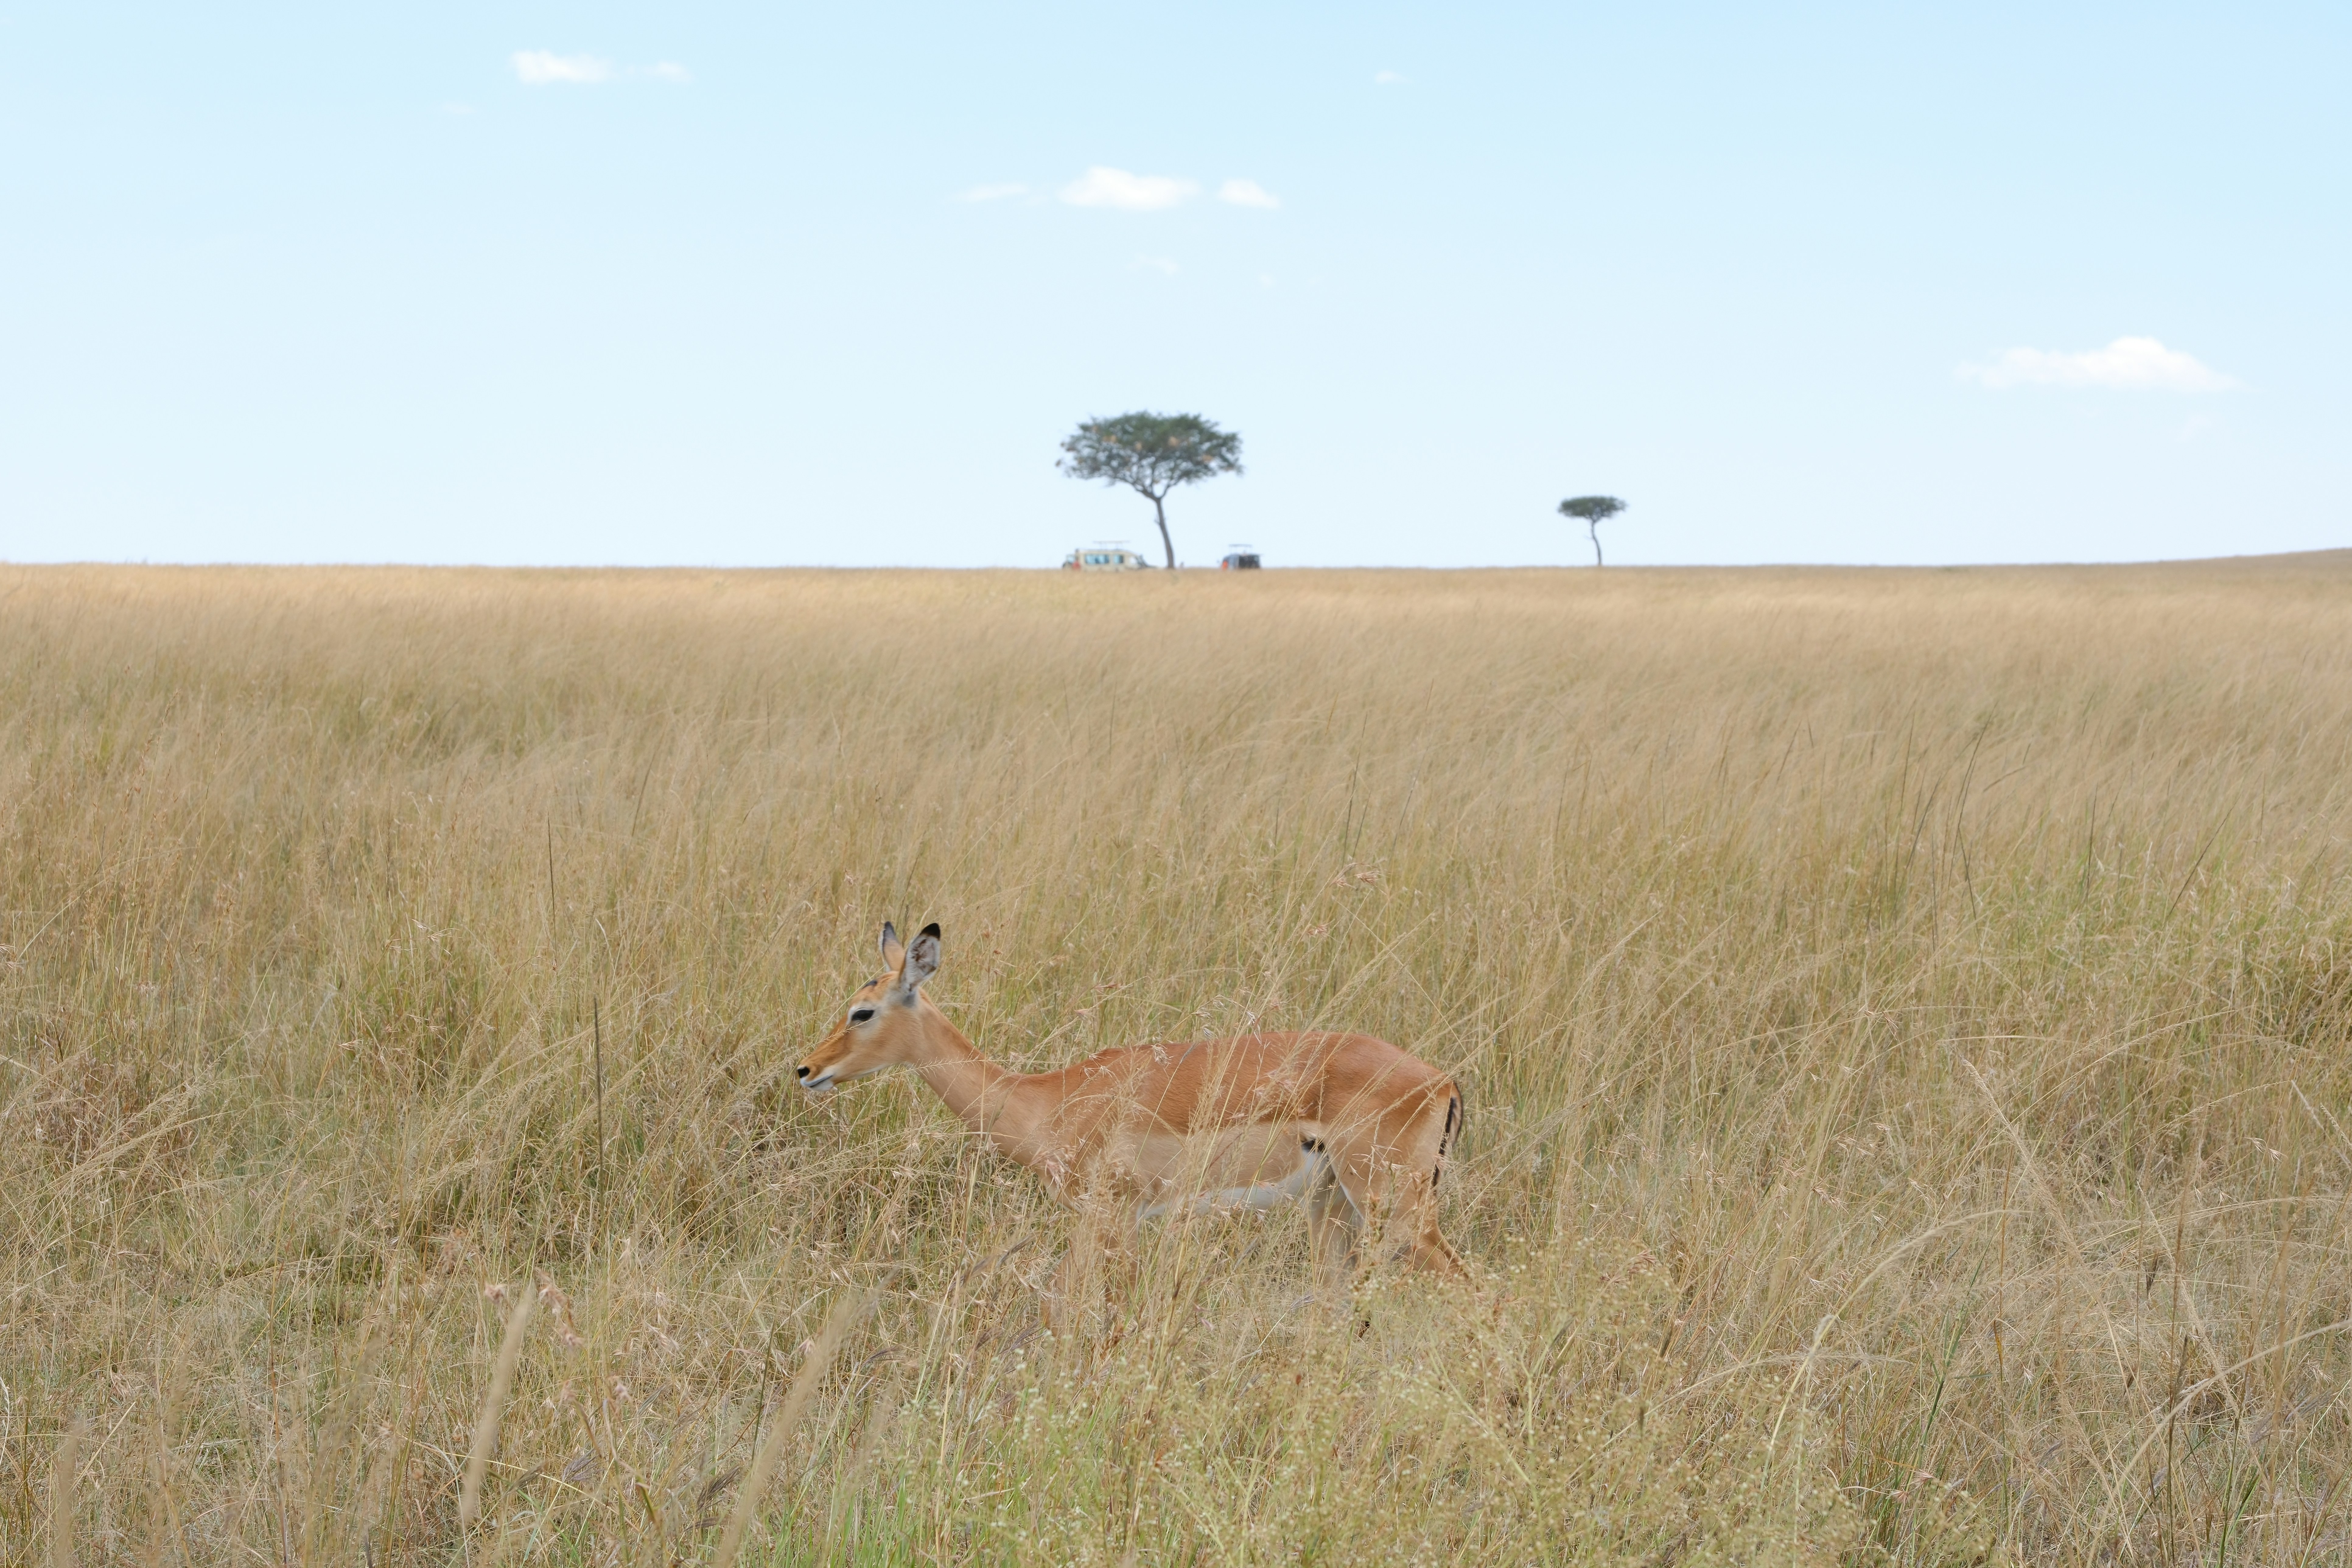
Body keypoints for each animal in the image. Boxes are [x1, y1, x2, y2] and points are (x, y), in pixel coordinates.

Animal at [796, 922, 1466, 1285]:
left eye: (863, 1011)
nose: (806, 1069)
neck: (1049, 1099)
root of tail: (1443, 1081)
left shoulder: (1114, 1217)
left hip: (1398, 1210)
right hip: (1334, 1207)